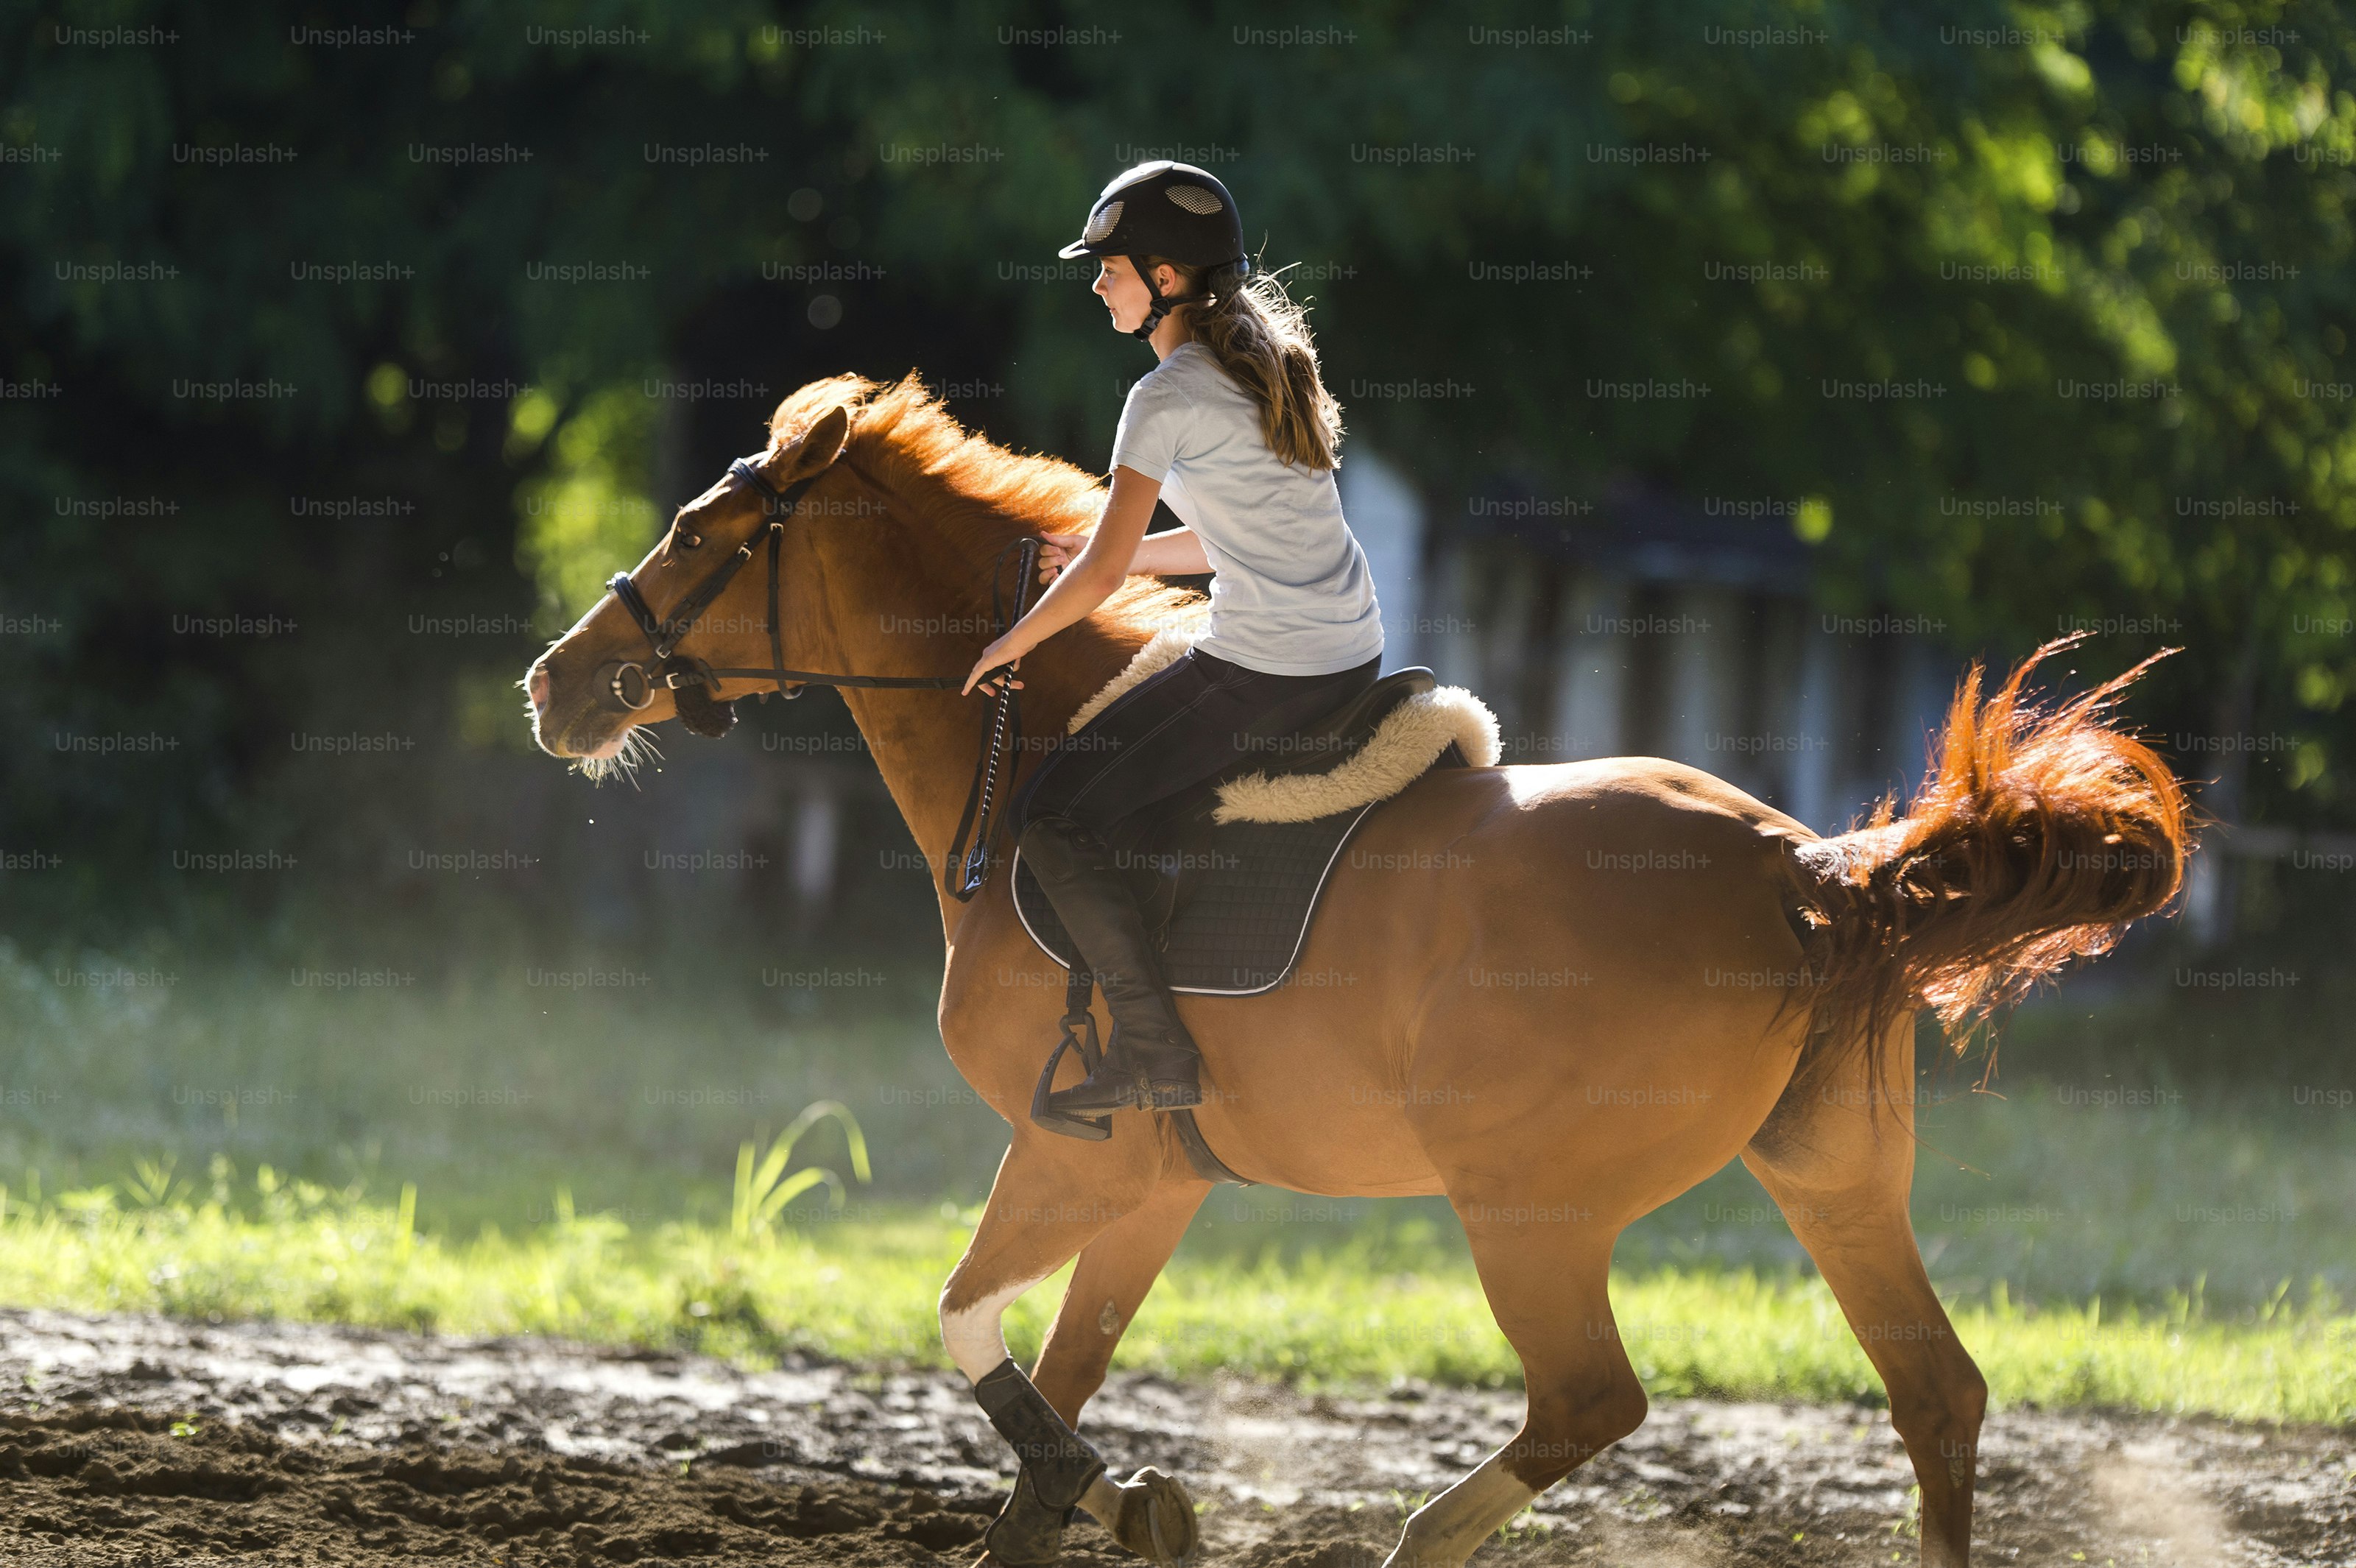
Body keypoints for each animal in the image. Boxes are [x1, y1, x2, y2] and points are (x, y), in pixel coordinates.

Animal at [526, 372, 2190, 1568]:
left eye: (698, 536)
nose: (556, 682)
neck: (1029, 739)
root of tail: (1804, 870)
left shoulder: (1077, 1157)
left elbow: (965, 1325)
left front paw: (1119, 1498)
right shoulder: (1159, 1181)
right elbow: (1053, 1384)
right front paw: (1116, 1506)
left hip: (1527, 1210)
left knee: (1591, 1399)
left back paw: (1420, 1539)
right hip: (1831, 1176)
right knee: (1937, 1396)